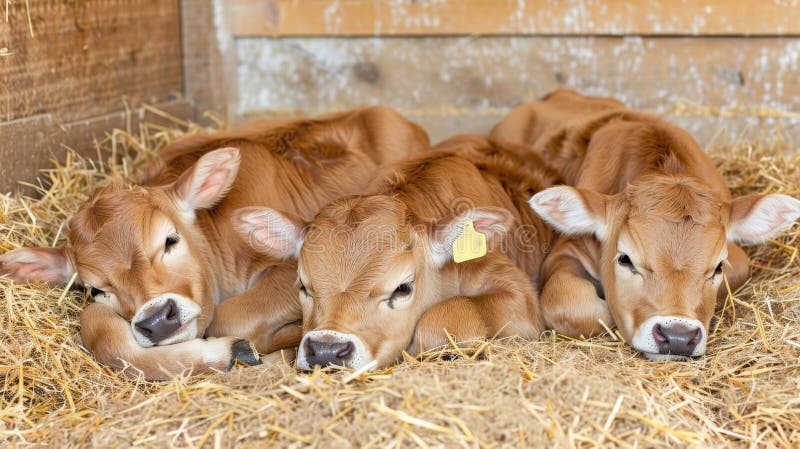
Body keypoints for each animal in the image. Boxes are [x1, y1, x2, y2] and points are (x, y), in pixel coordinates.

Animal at [0, 107, 430, 380]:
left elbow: (233, 318)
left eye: (169, 240)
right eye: (95, 289)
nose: (157, 319)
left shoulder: (286, 268)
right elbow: (99, 330)